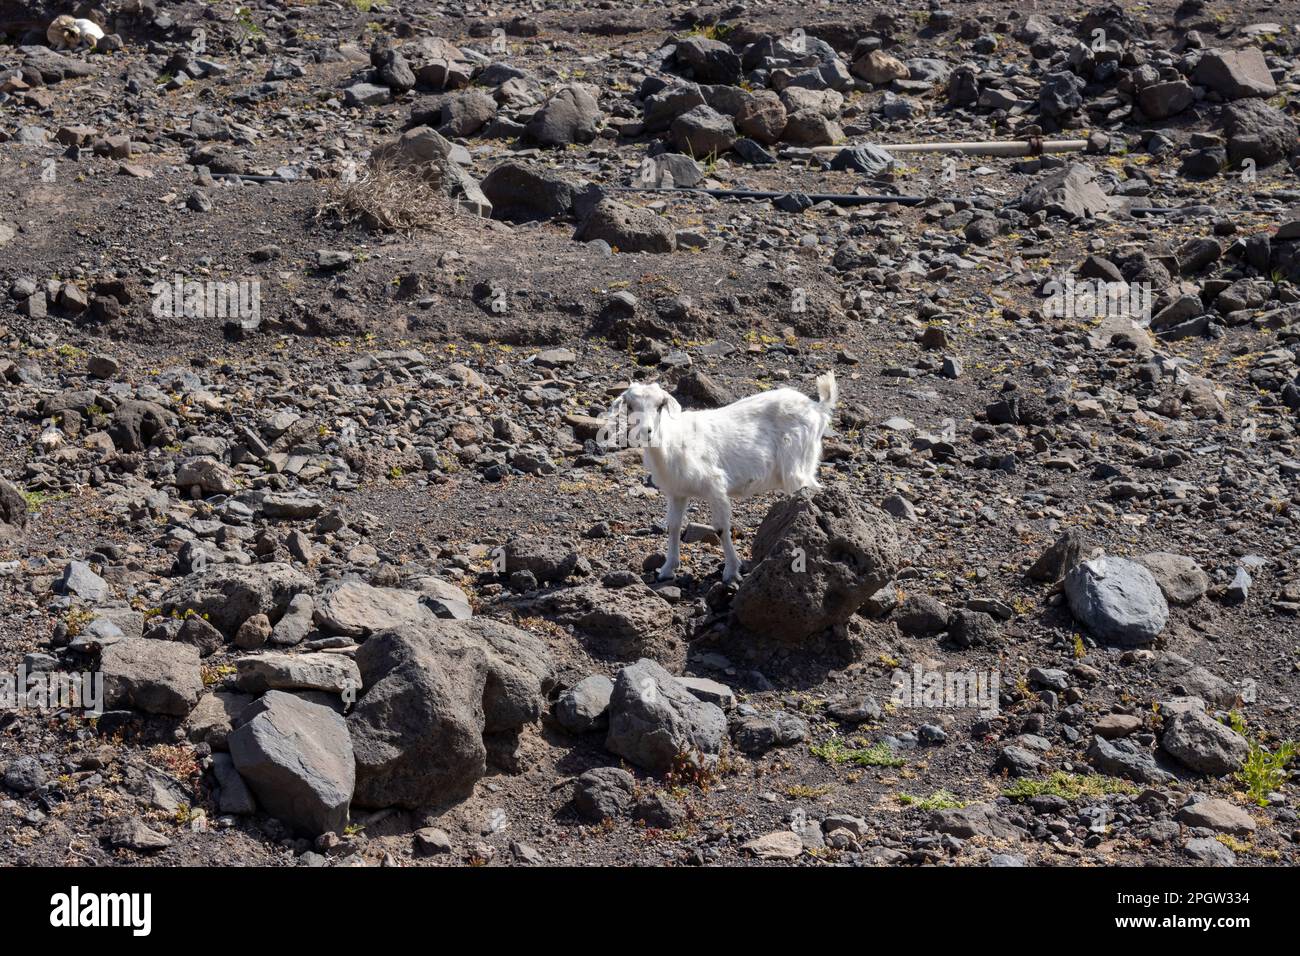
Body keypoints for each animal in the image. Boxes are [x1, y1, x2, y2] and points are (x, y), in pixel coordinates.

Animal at [605, 373, 838, 583]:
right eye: (630, 406)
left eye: (660, 405)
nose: (646, 431)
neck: (671, 442)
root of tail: (817, 407)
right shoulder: (676, 492)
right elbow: (673, 526)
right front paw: (667, 569)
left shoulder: (715, 485)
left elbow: (720, 528)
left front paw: (731, 572)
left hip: (796, 463)